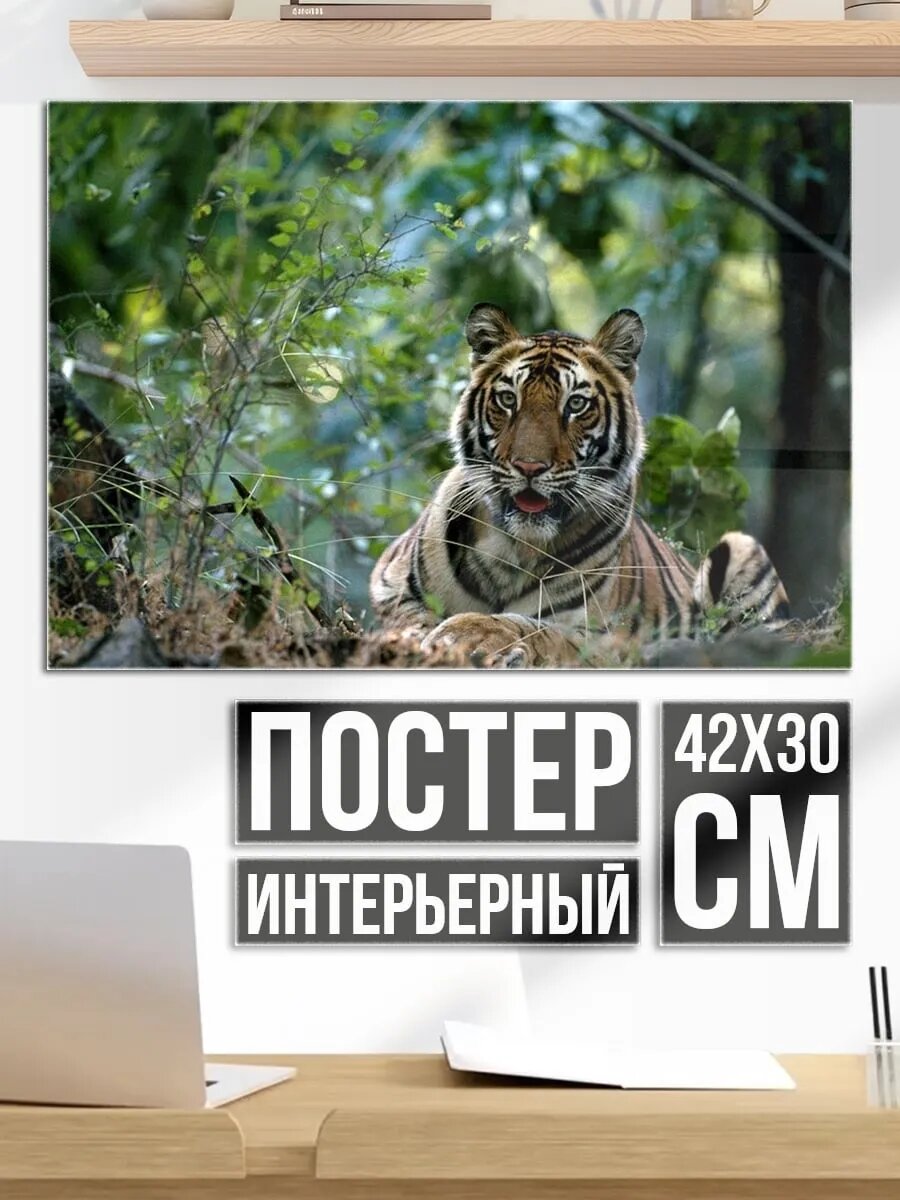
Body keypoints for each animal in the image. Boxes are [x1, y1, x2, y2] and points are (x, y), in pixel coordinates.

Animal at [370, 302, 788, 667]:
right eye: (508, 399)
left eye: (575, 405)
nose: (529, 466)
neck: (512, 551)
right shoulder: (387, 583)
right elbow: (407, 617)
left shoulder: (605, 638)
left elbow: (535, 629)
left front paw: (469, 633)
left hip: (742, 548)